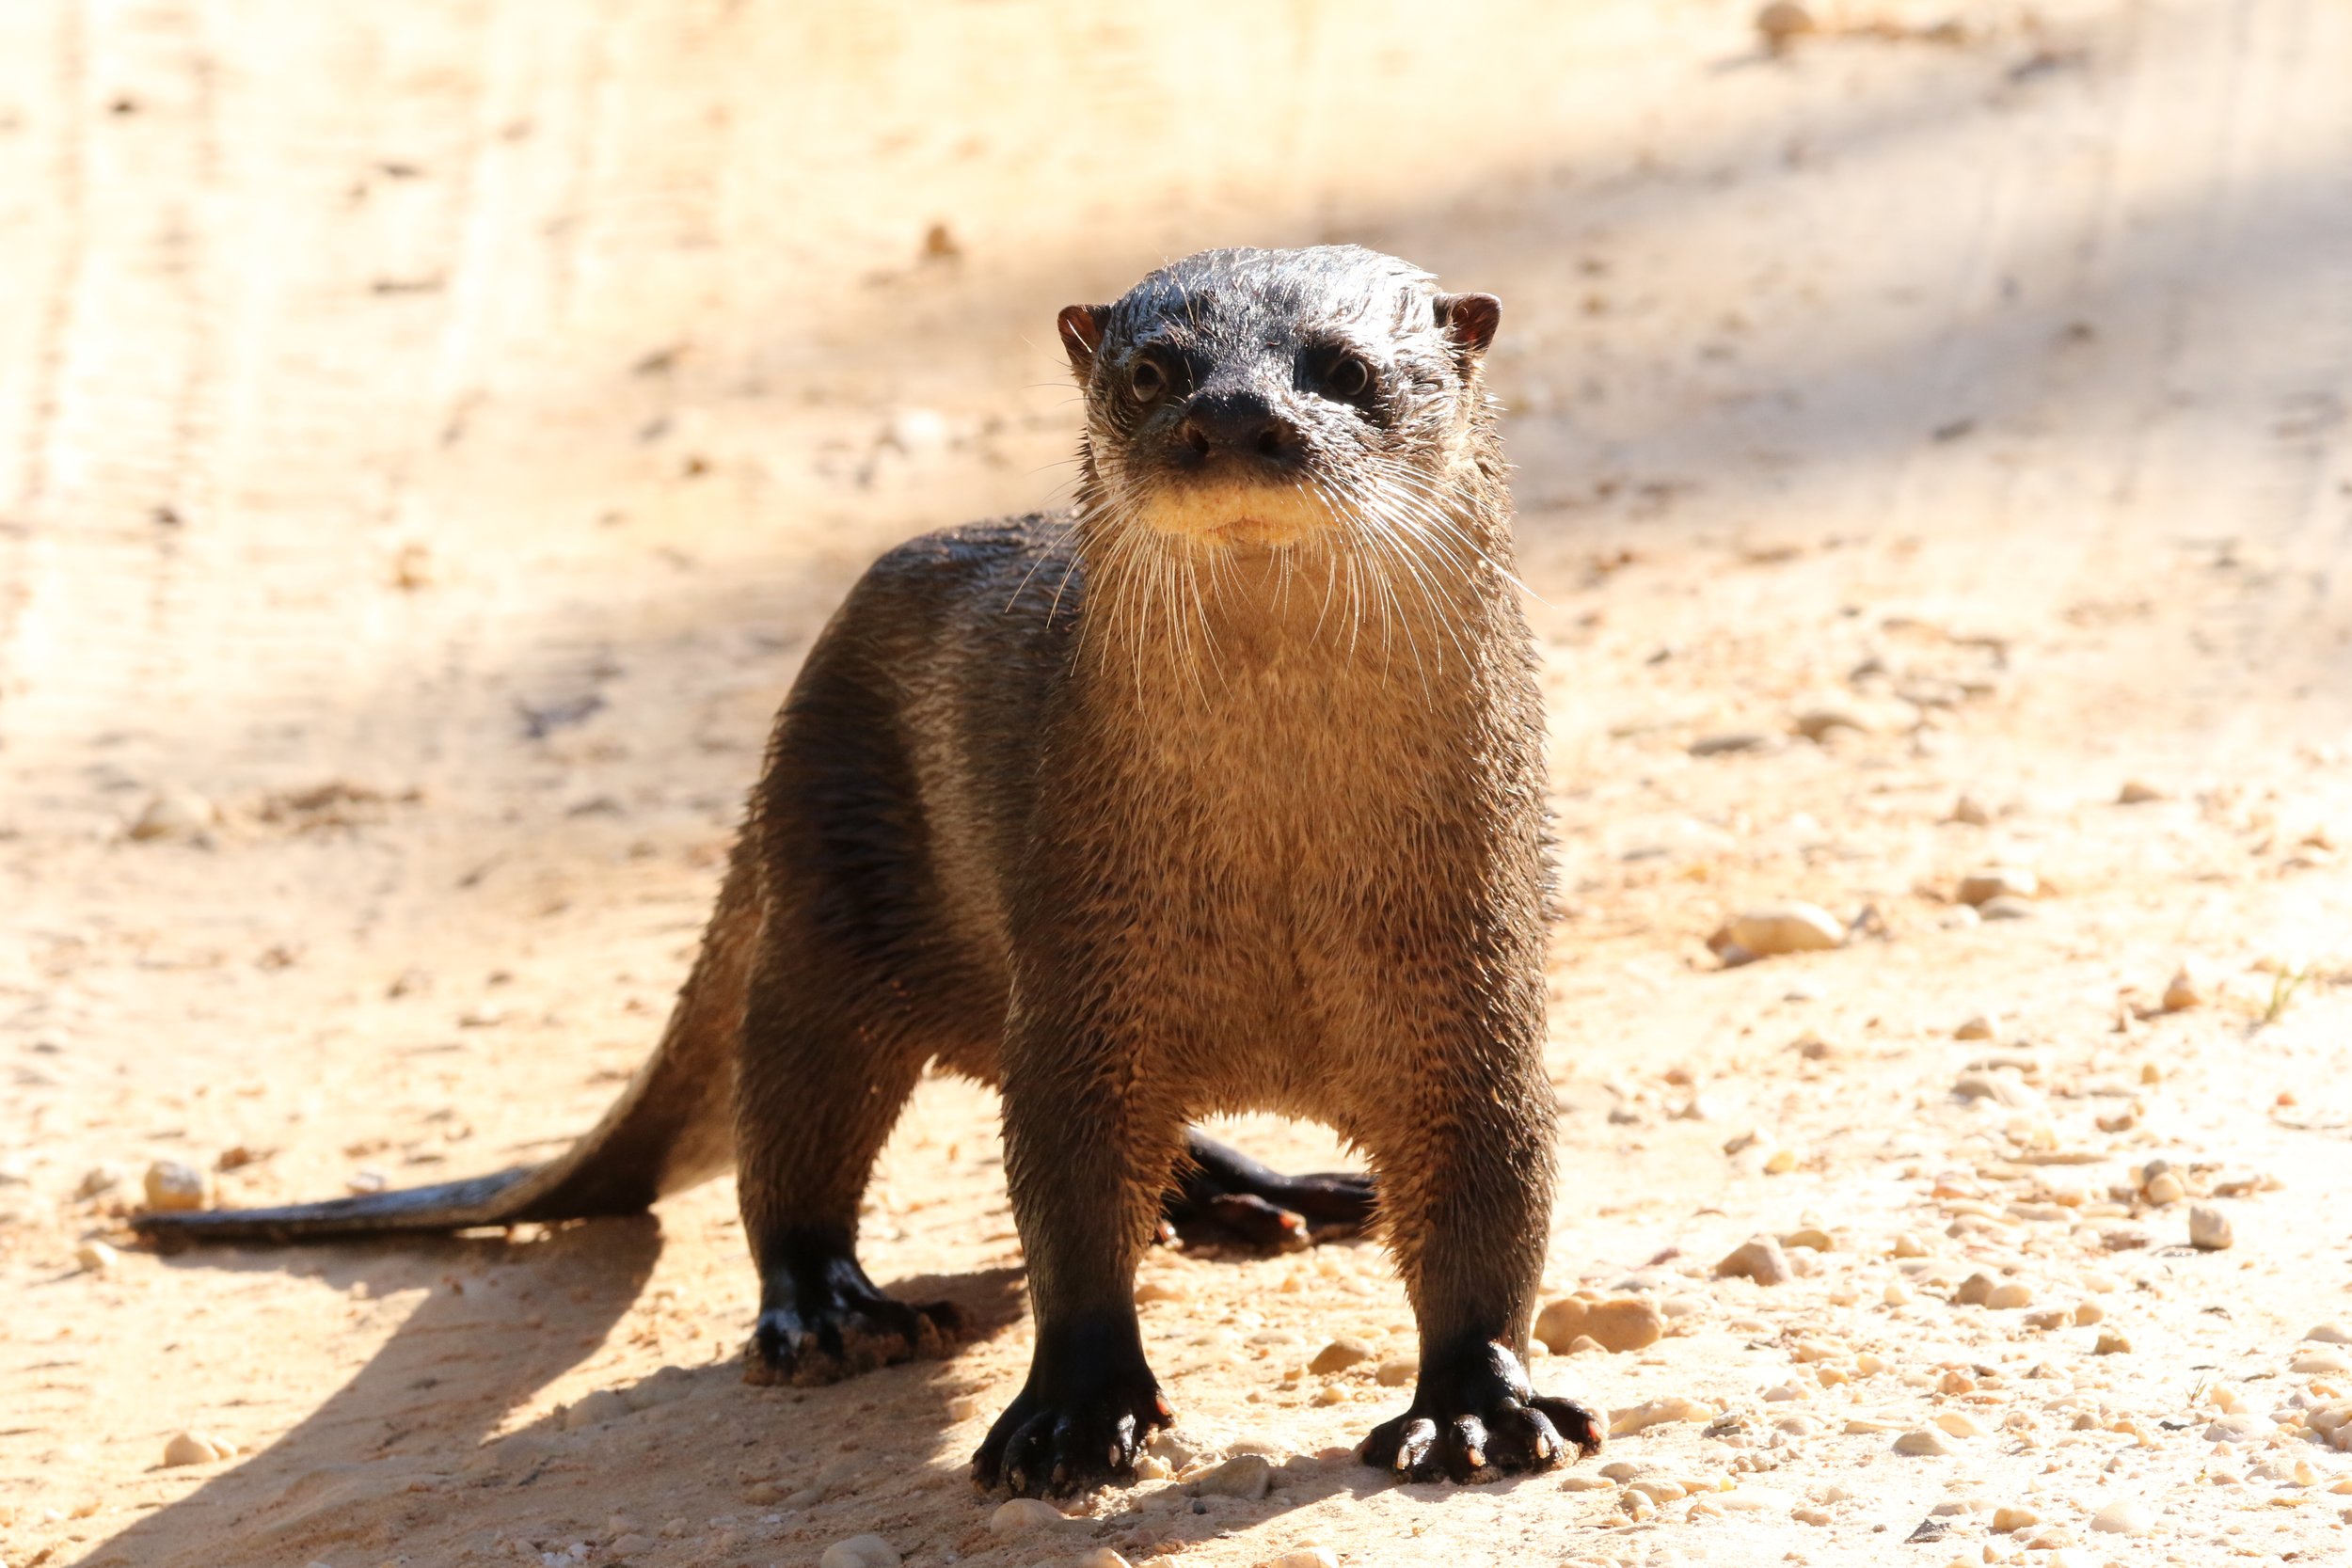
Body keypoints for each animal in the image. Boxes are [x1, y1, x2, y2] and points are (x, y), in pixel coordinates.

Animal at [134, 246, 1601, 1493]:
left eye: (1343, 366)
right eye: (1151, 372)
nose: (1233, 417)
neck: (1279, 879)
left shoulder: (1471, 988)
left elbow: (1495, 1194)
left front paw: (1475, 1406)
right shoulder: (1085, 981)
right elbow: (1067, 1200)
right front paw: (1073, 1413)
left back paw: (1265, 1195)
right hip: (828, 903)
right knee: (795, 1132)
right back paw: (835, 1311)